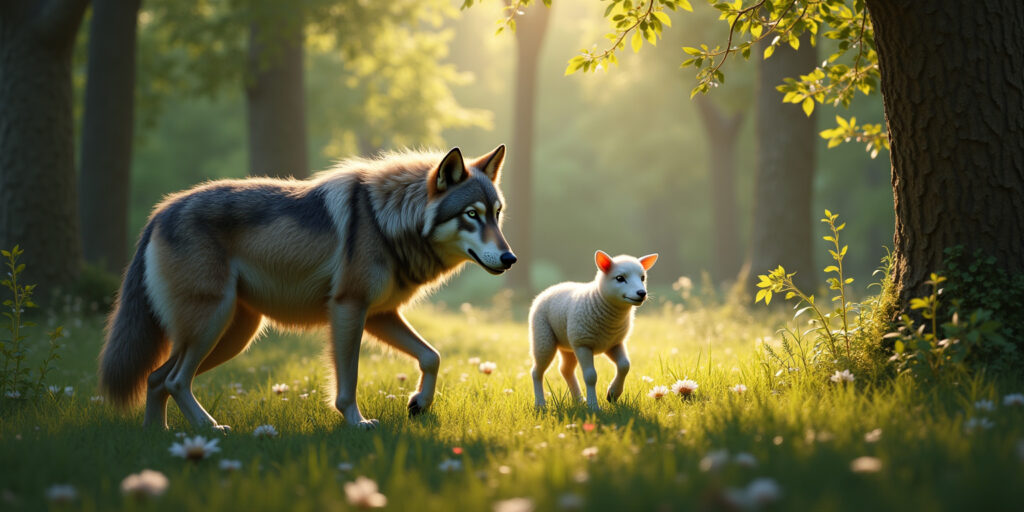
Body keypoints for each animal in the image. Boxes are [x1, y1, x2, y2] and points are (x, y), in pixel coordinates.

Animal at [98, 145, 516, 430]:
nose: (509, 258)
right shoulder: (349, 309)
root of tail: (159, 213)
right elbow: (348, 382)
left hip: (231, 336)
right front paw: (357, 424)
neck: (386, 221)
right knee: (173, 380)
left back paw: (160, 437)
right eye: (471, 215)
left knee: (156, 379)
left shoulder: (379, 315)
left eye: (496, 215)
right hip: (212, 327)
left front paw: (419, 404)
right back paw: (209, 428)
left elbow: (432, 357)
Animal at [529, 250, 657, 410]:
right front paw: (594, 406)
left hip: (569, 345)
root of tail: (550, 289)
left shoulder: (613, 343)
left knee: (565, 370)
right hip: (544, 338)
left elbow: (625, 366)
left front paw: (613, 394)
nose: (641, 293)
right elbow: (590, 376)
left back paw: (579, 400)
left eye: (642, 277)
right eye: (620, 278)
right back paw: (540, 404)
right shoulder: (583, 344)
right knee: (537, 371)